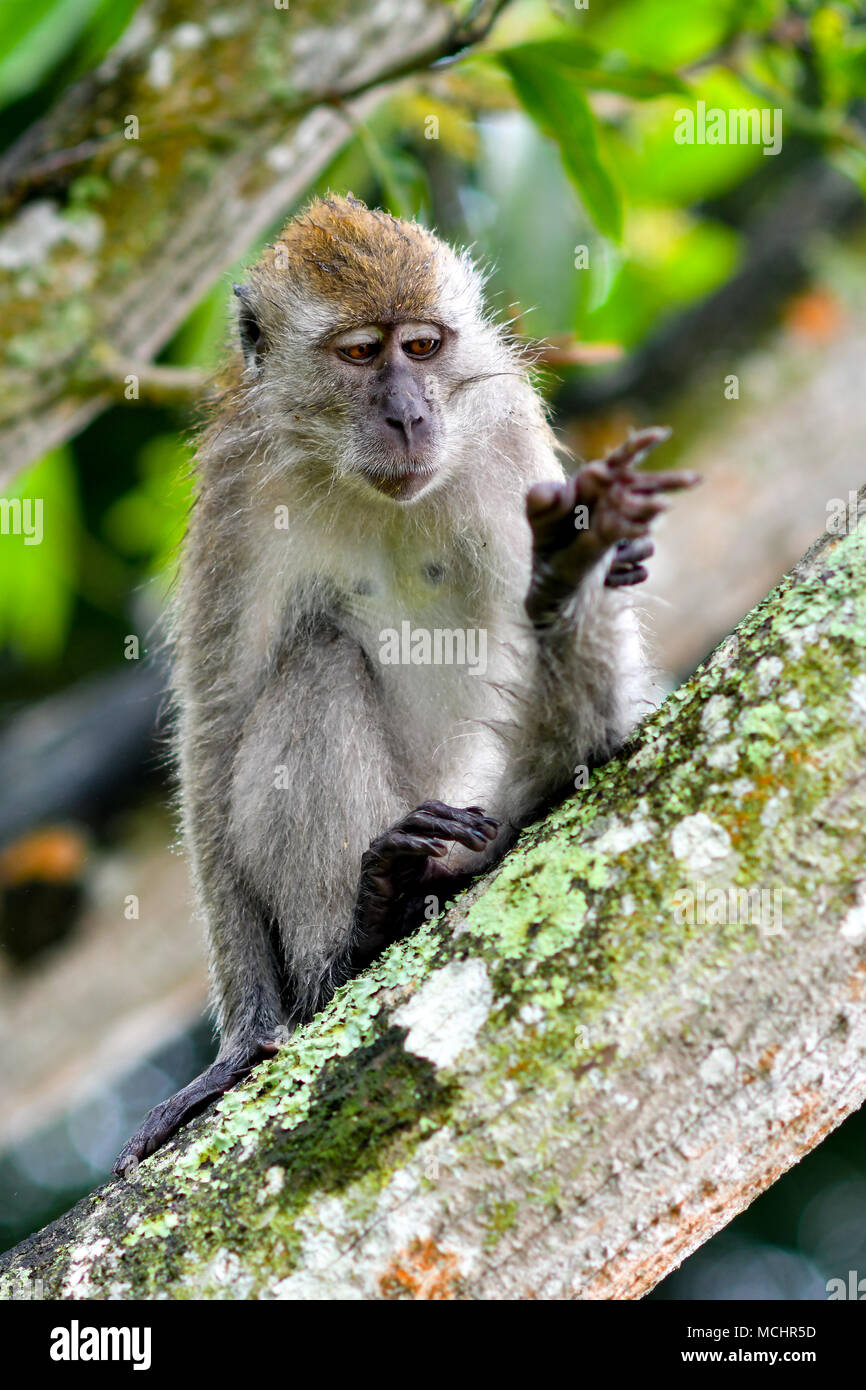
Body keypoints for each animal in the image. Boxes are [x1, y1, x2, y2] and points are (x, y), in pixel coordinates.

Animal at [114, 194, 698, 1173]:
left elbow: (606, 731)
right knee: (317, 663)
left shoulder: (501, 428)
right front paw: (240, 1045)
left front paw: (578, 561)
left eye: (422, 347)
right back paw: (359, 930)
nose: (409, 416)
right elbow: (217, 727)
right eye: (360, 354)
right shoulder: (241, 478)